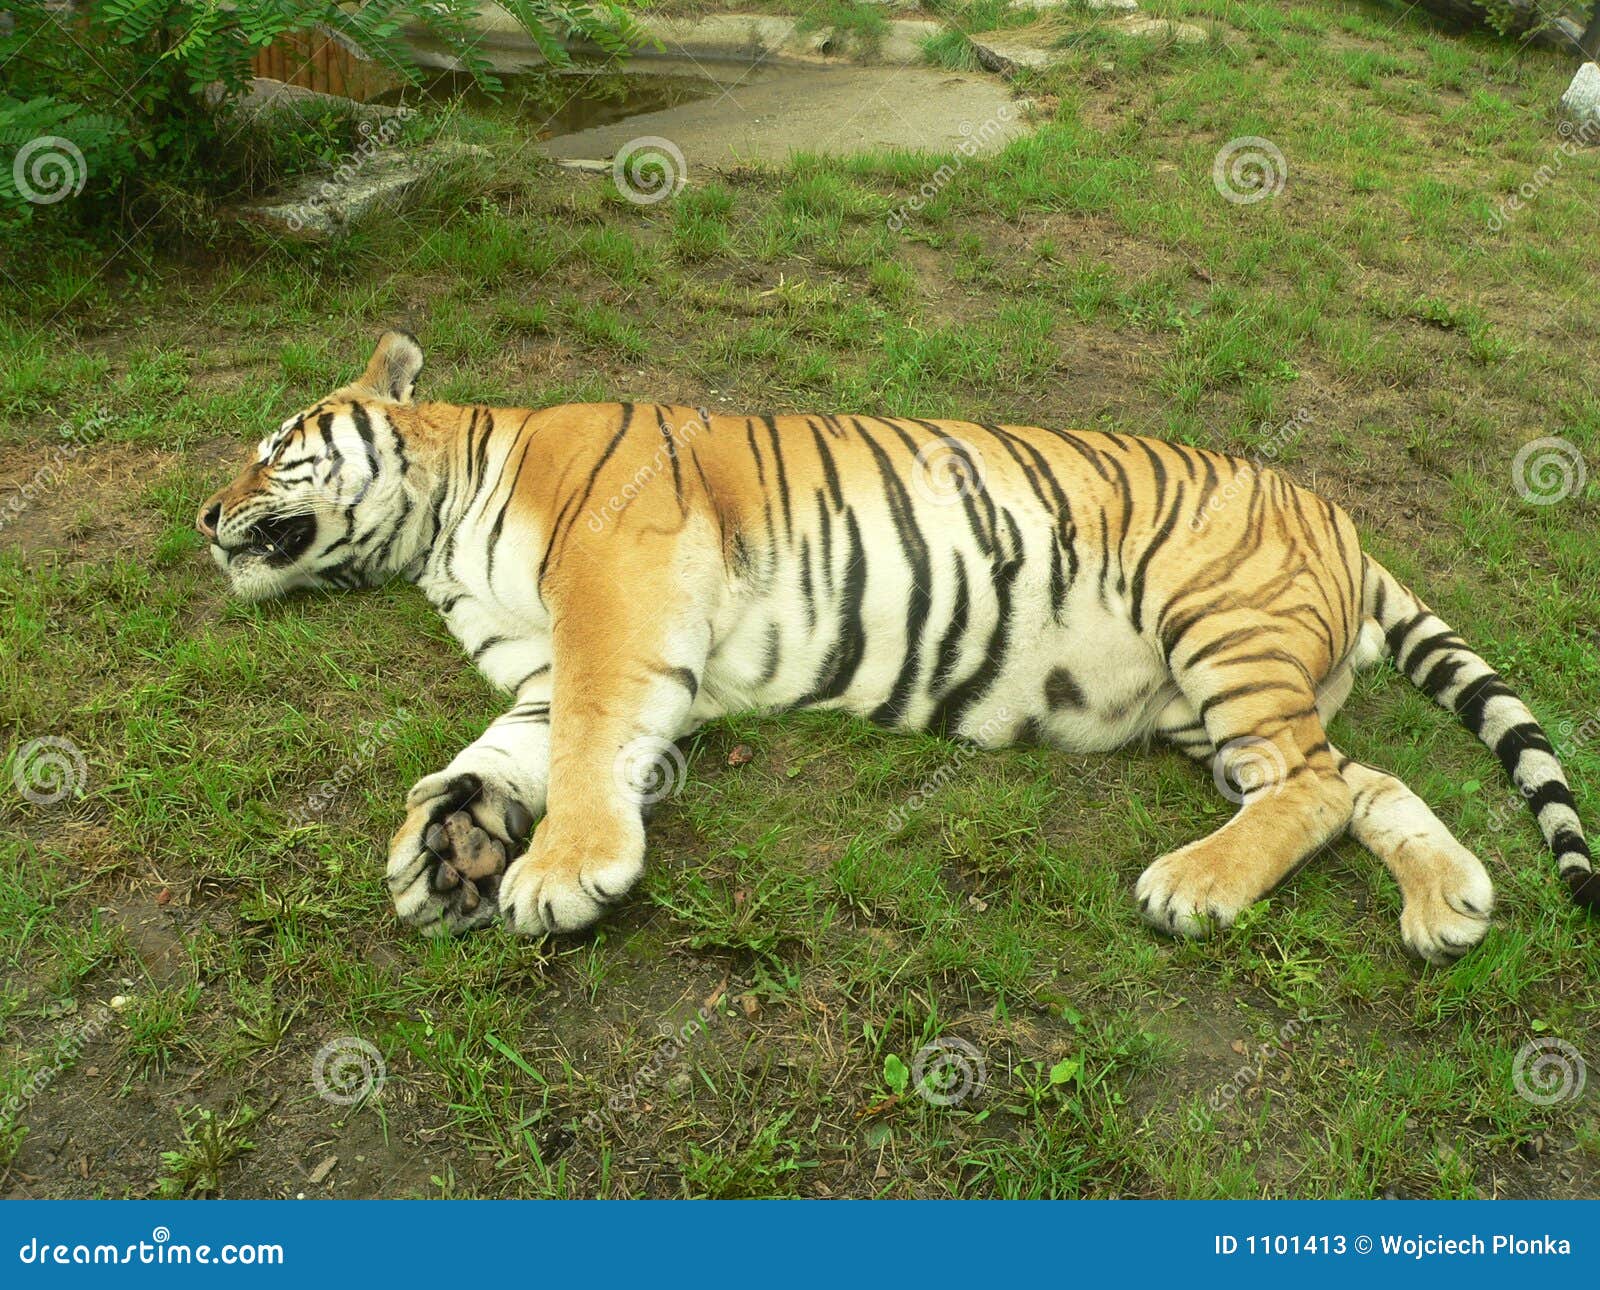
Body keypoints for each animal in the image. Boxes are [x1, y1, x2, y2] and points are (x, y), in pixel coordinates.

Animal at [196, 331, 1598, 963]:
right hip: (1226, 703)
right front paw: (451, 841)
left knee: (1313, 787)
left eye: (271, 448)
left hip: (1225, 629)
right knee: (1362, 779)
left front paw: (561, 870)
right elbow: (511, 745)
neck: (436, 530)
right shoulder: (546, 665)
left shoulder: (617, 591)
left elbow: (593, 737)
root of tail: (1341, 518)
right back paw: (1448, 905)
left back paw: (1191, 886)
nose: (204, 517)